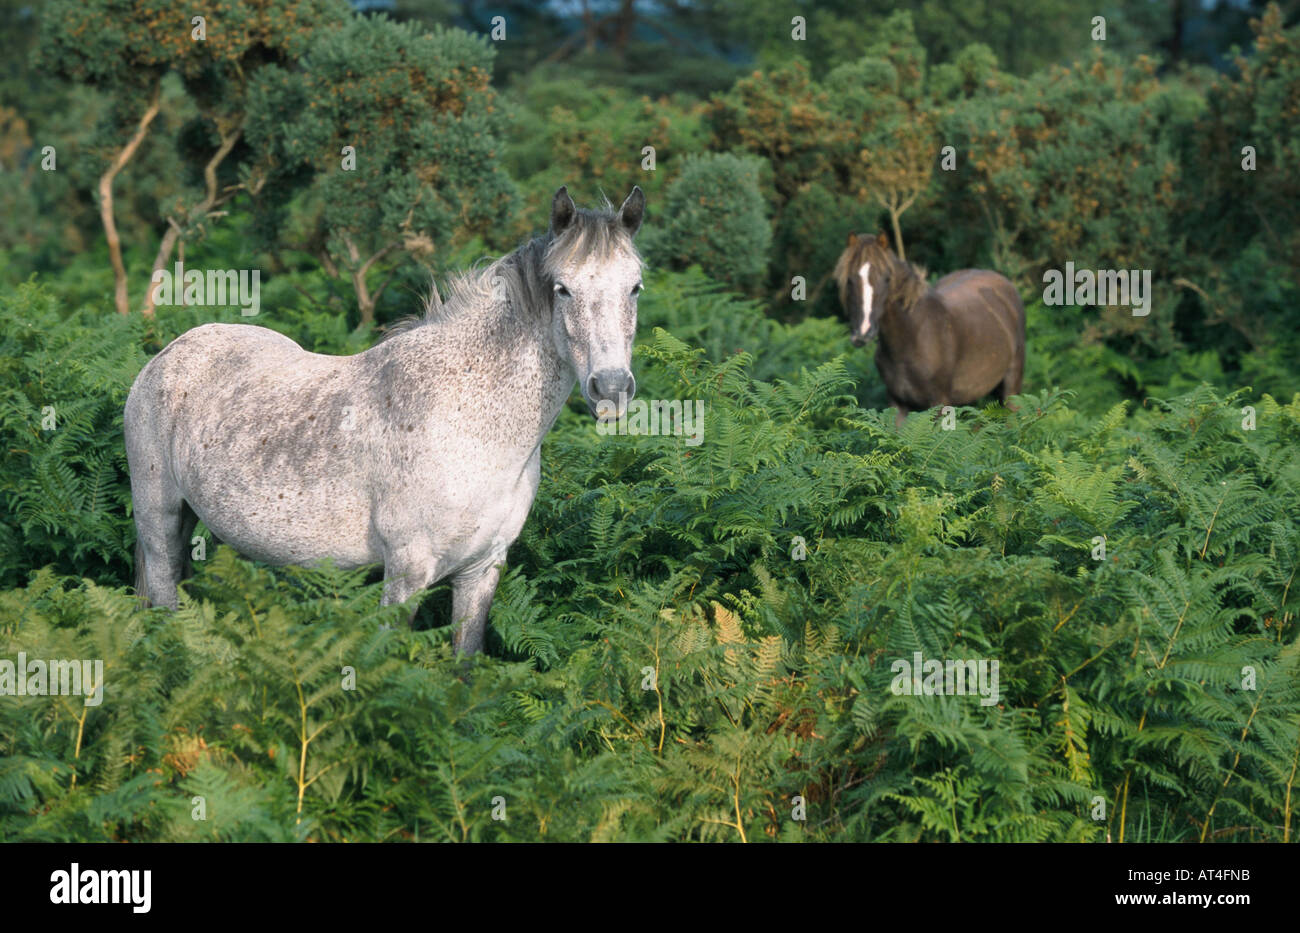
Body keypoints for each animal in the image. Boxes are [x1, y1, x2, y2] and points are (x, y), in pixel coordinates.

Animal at [125, 186, 646, 655]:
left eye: (635, 287)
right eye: (563, 288)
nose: (611, 387)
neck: (470, 423)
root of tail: (169, 354)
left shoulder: (481, 571)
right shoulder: (407, 572)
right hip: (159, 521)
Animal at [834, 232, 1025, 428]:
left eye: (887, 279)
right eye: (850, 280)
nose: (863, 333)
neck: (912, 337)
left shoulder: (939, 403)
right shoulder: (897, 404)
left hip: (1012, 382)